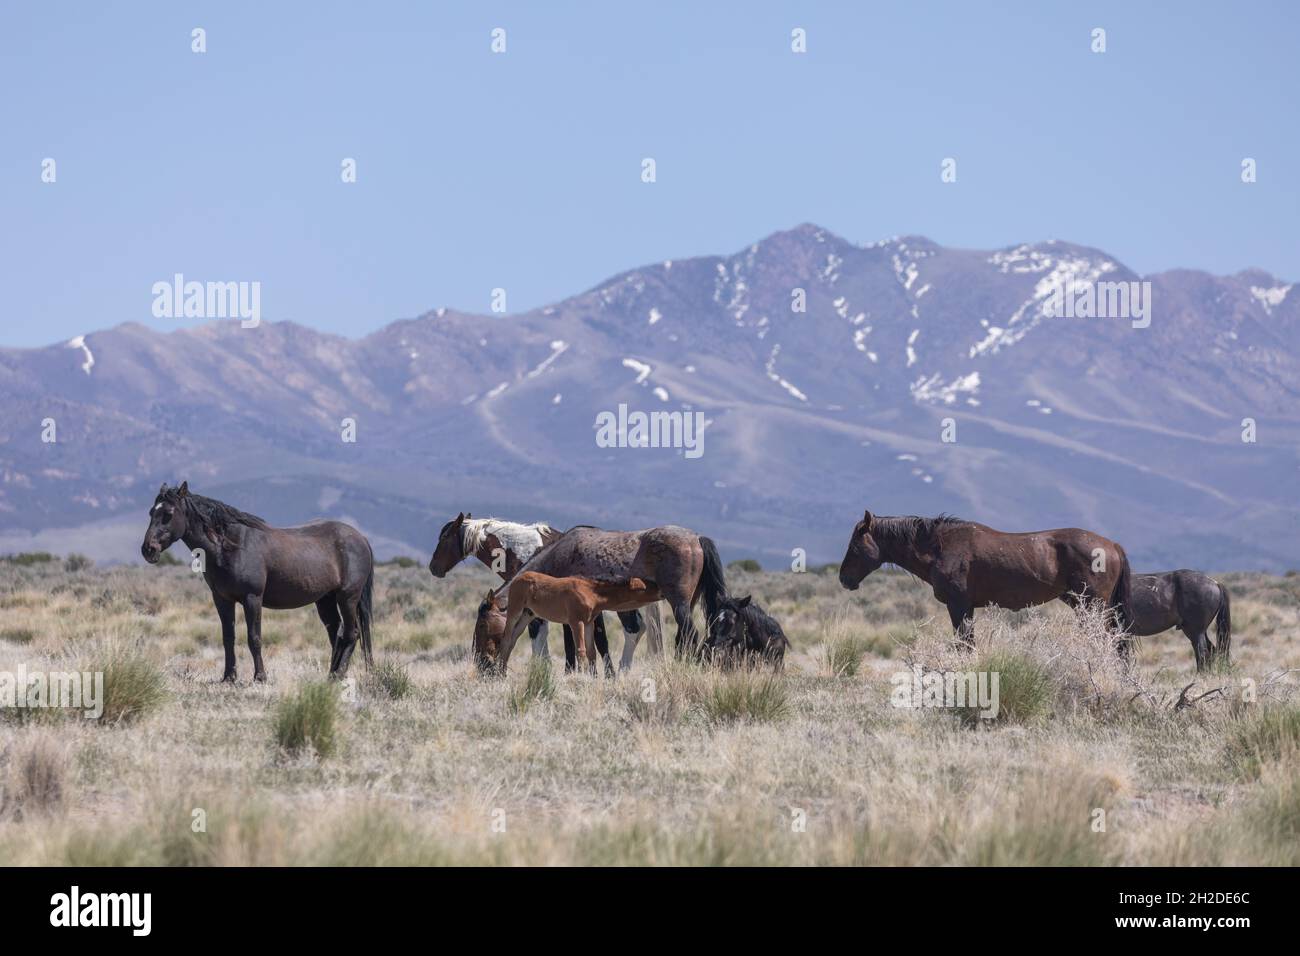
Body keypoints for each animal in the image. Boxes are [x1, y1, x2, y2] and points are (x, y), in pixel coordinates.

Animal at [140, 482, 374, 682]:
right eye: (151, 512)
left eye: (168, 514)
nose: (148, 549)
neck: (230, 546)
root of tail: (361, 538)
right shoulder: (222, 600)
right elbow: (228, 638)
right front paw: (229, 677)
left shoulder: (252, 598)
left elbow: (254, 638)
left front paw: (260, 676)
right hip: (325, 600)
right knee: (336, 634)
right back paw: (331, 675)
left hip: (347, 597)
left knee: (351, 634)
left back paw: (338, 675)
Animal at [480, 573, 664, 675]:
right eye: (646, 586)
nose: (662, 591)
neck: (591, 592)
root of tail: (519, 578)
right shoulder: (576, 622)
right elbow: (580, 651)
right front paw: (580, 678)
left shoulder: (589, 624)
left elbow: (591, 652)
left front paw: (592, 677)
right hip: (515, 612)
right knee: (506, 639)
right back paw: (500, 674)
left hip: (527, 615)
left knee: (512, 640)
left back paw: (503, 672)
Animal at [838, 510, 1134, 656]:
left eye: (854, 547)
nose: (844, 579)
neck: (939, 547)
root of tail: (1112, 545)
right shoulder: (966, 608)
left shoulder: (958, 606)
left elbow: (965, 645)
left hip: (1092, 607)